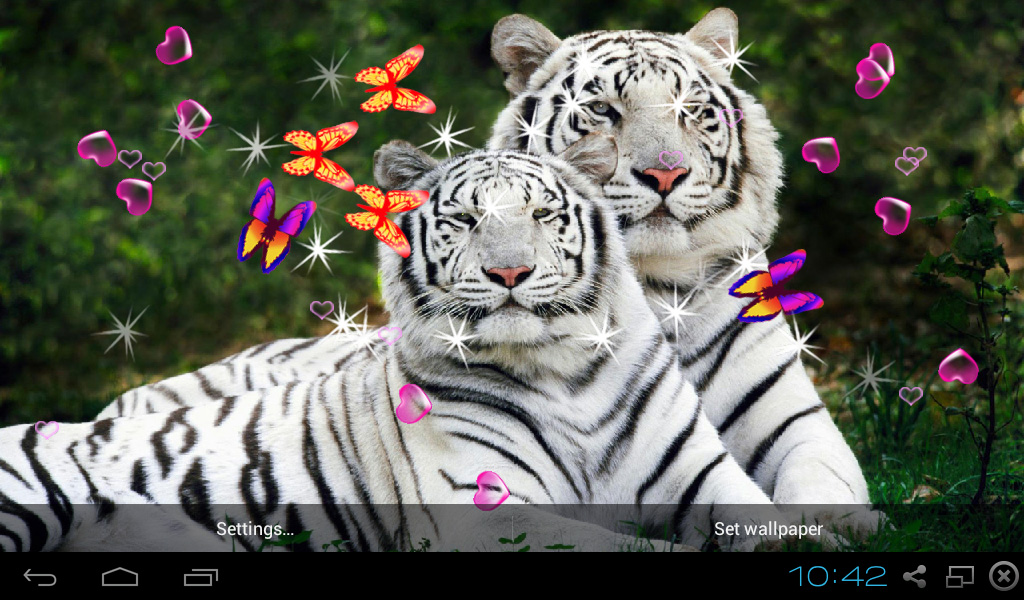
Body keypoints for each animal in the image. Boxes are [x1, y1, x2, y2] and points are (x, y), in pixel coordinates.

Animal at [1, 136, 796, 552]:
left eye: (542, 215)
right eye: (466, 221)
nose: (510, 272)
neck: (563, 369)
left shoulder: (700, 476)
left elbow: (773, 523)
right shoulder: (490, 511)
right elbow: (624, 545)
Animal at [486, 8, 877, 533]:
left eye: (688, 109)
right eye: (603, 110)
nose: (665, 173)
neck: (658, 282)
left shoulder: (796, 419)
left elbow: (820, 478)